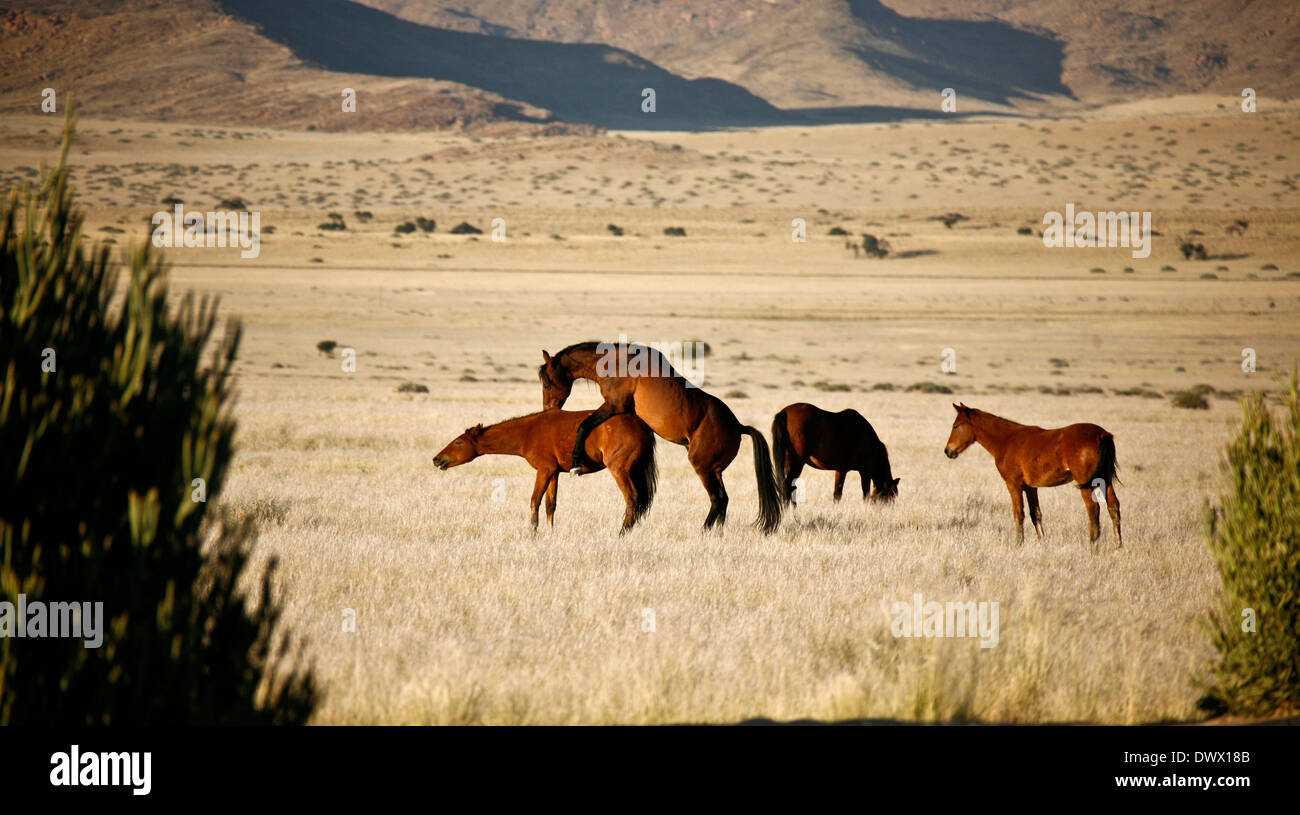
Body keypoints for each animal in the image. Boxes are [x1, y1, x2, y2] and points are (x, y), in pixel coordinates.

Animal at [432, 409, 657, 532]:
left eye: (459, 442)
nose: (436, 459)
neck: (528, 432)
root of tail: (642, 427)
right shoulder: (554, 473)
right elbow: (551, 504)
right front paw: (550, 532)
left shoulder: (544, 470)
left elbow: (535, 501)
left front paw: (533, 532)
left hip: (620, 471)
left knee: (632, 499)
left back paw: (622, 533)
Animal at [538, 341, 782, 533]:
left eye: (547, 383)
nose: (548, 409)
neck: (615, 362)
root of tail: (738, 426)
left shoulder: (613, 405)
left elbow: (584, 426)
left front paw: (576, 464)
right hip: (715, 471)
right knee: (723, 501)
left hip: (702, 467)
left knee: (718, 499)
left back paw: (702, 531)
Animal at [771, 402, 899, 506]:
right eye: (891, 496)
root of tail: (784, 412)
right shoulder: (865, 471)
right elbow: (865, 493)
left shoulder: (841, 470)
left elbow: (837, 493)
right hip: (797, 462)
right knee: (789, 485)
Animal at [943, 403, 1121, 546]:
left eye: (955, 426)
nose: (947, 451)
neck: (1006, 440)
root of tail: (1101, 435)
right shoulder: (1031, 488)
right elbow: (1036, 514)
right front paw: (1042, 542)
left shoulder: (1013, 485)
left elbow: (1019, 514)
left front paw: (1018, 544)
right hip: (1105, 481)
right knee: (1113, 507)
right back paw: (1118, 545)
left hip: (1087, 484)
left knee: (1094, 510)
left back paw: (1093, 544)